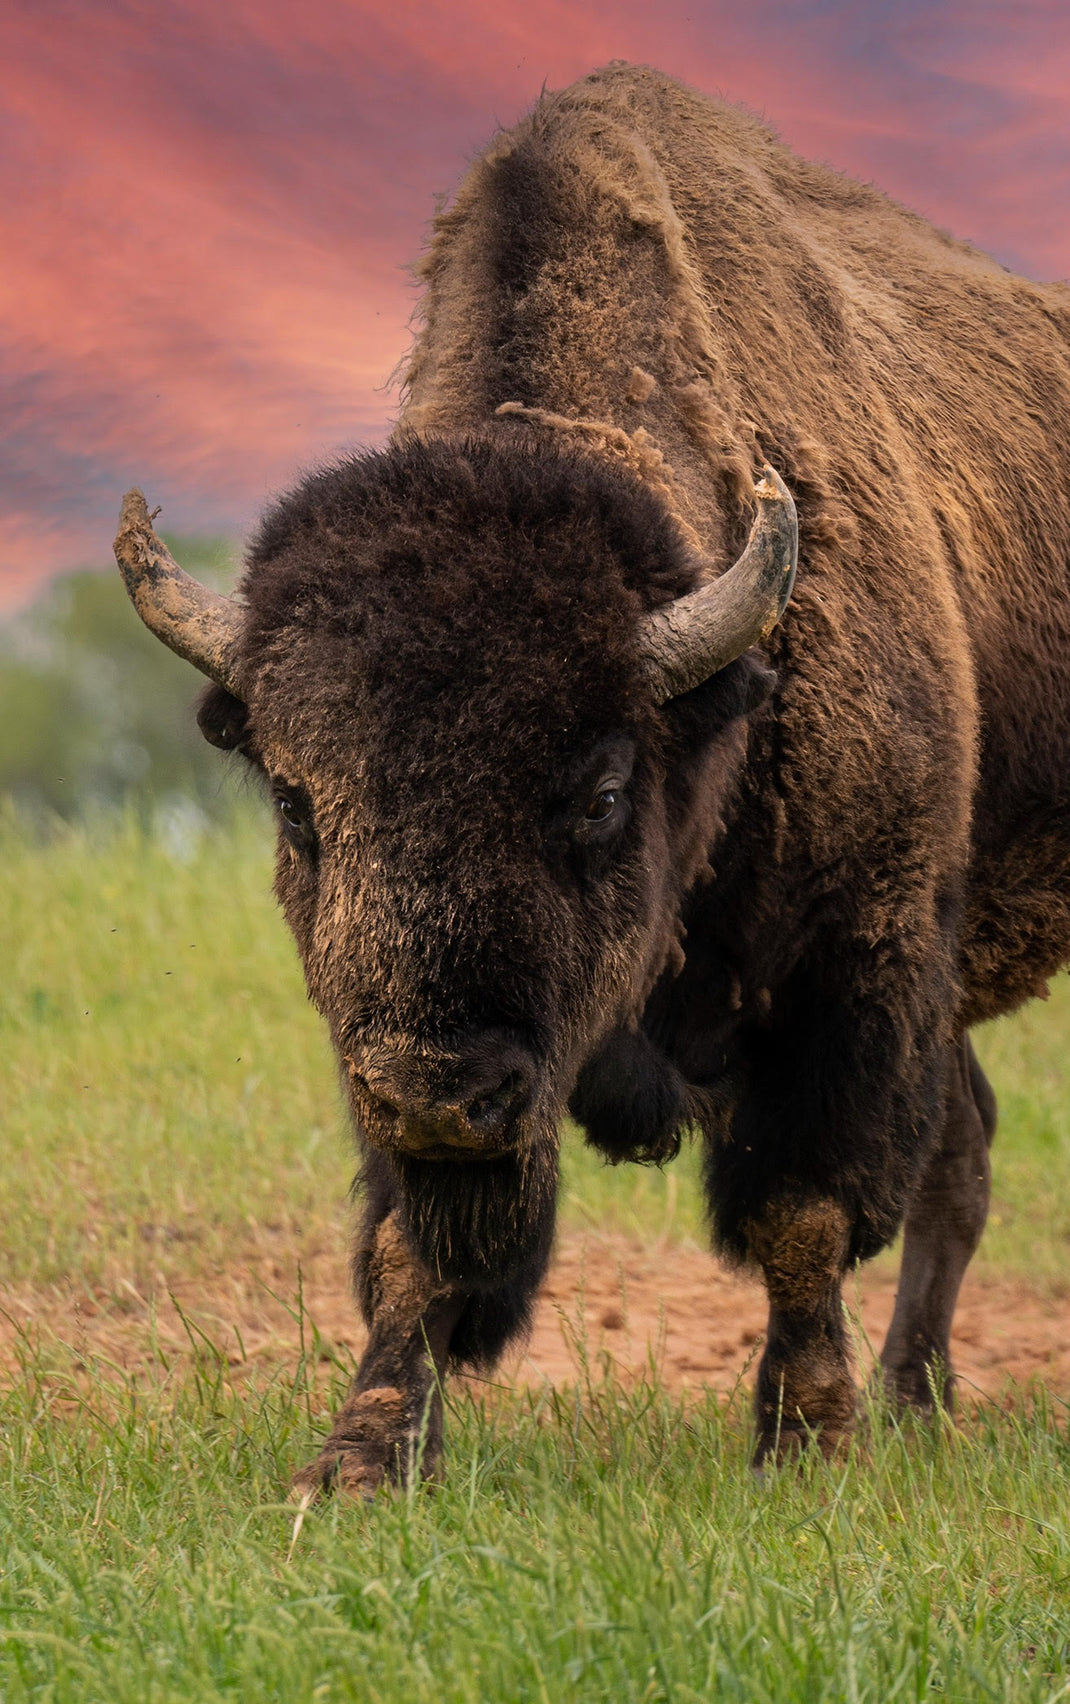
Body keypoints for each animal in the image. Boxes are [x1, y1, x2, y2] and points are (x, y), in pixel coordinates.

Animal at [115, 64, 1070, 1493]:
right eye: (294, 800)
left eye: (600, 795)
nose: (437, 1087)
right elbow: (411, 1248)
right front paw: (360, 1460)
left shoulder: (852, 963)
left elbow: (801, 1214)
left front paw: (806, 1445)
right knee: (963, 1141)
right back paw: (918, 1401)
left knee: (946, 1161)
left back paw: (902, 1402)